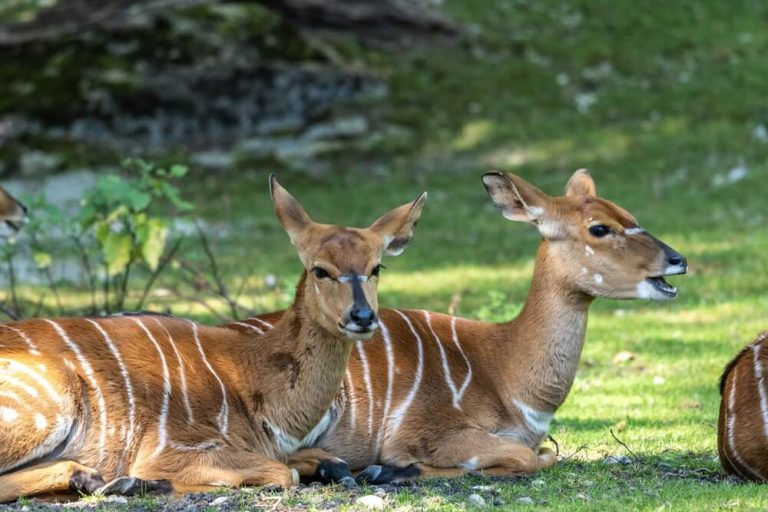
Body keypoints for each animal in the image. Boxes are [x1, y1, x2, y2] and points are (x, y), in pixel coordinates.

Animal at [0, 175, 427, 502]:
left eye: (376, 267)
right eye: (320, 269)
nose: (363, 317)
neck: (250, 380)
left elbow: (327, 462)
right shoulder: (172, 449)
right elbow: (280, 473)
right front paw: (145, 482)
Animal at [247, 169, 688, 483]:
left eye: (629, 216)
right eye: (599, 228)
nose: (677, 259)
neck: (505, 371)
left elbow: (545, 453)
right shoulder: (425, 433)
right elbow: (528, 457)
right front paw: (389, 470)